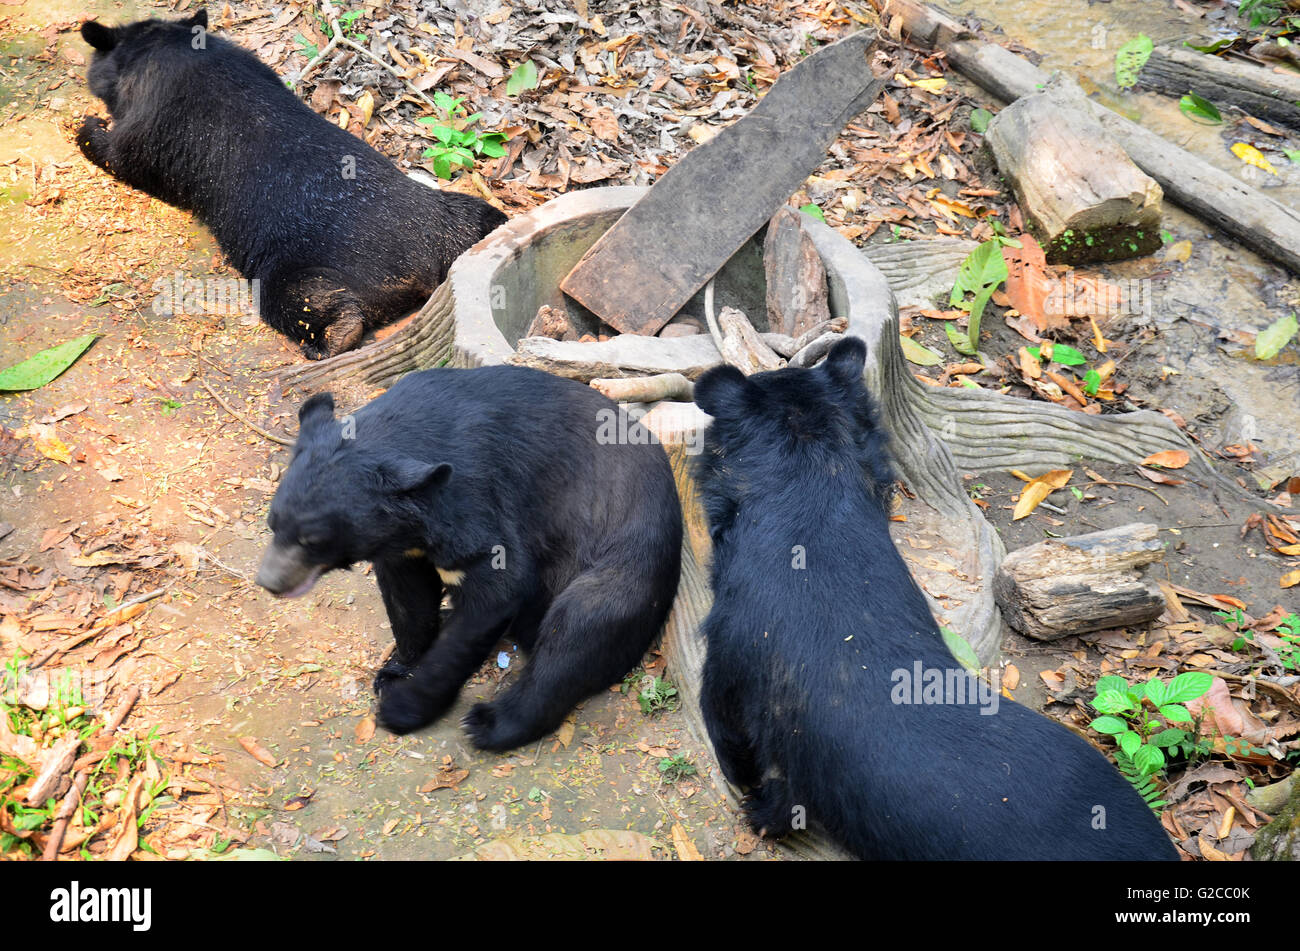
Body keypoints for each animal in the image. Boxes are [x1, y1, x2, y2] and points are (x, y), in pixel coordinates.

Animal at [76, 8, 506, 359]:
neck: (170, 49)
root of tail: (421, 270)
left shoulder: (154, 122)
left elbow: (124, 156)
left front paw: (88, 127)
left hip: (295, 262)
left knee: (300, 301)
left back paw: (336, 336)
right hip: (460, 218)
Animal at [255, 364, 684, 751]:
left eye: (313, 540)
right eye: (273, 523)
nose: (269, 582)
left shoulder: (475, 499)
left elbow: (496, 587)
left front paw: (401, 706)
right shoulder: (402, 545)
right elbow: (408, 600)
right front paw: (395, 671)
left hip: (621, 565)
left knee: (575, 635)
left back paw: (489, 724)